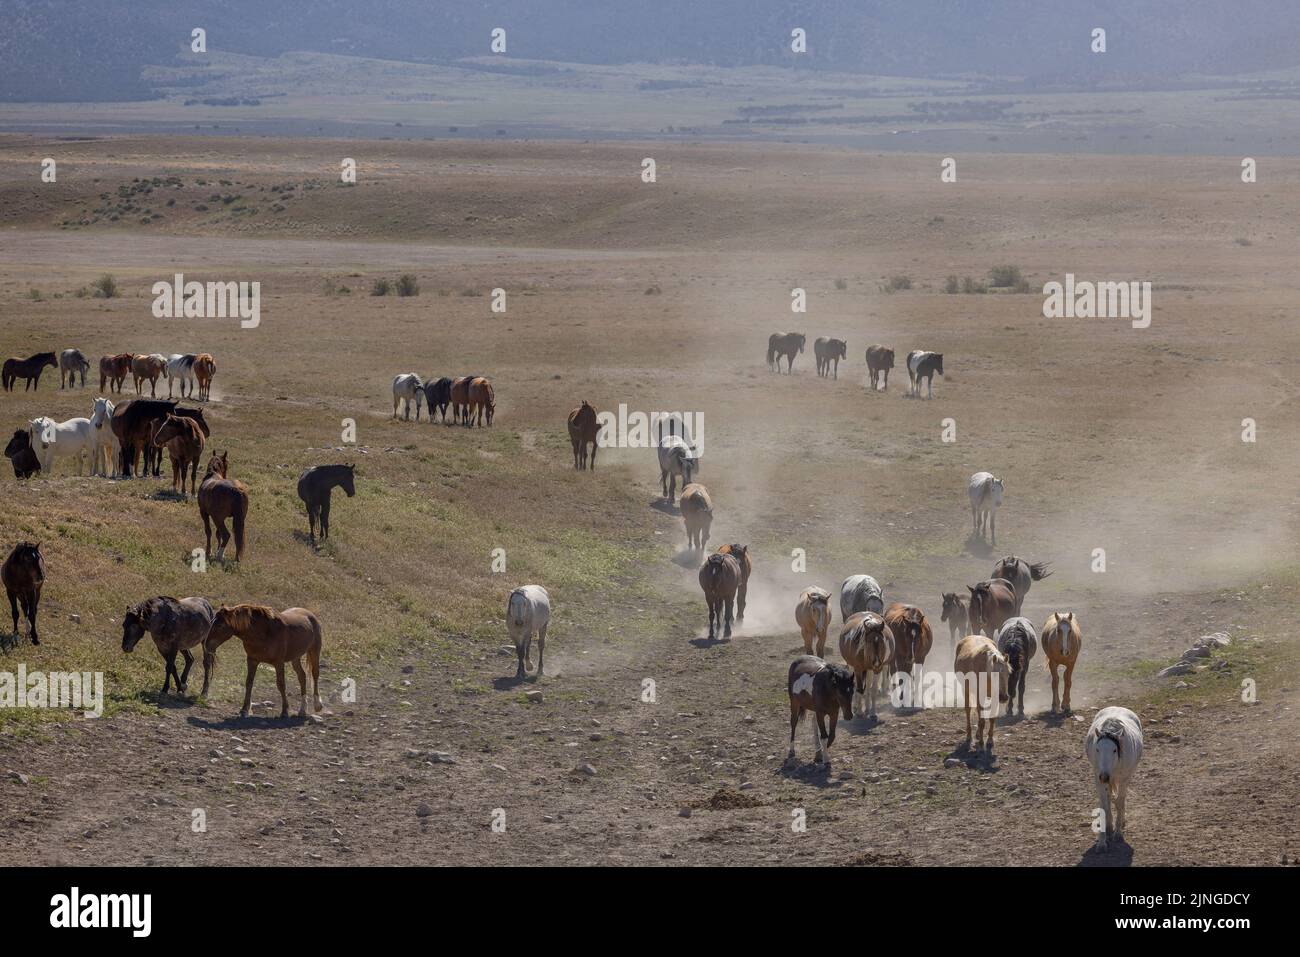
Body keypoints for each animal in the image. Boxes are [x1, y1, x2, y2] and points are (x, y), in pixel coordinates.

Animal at [1084, 706, 1144, 849]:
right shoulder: (1098, 779)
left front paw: (1118, 833)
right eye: (1097, 749)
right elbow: (1105, 805)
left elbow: (1119, 803)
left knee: (1120, 800)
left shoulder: (1123, 779)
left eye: (1114, 750)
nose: (1104, 777)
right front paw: (1102, 841)